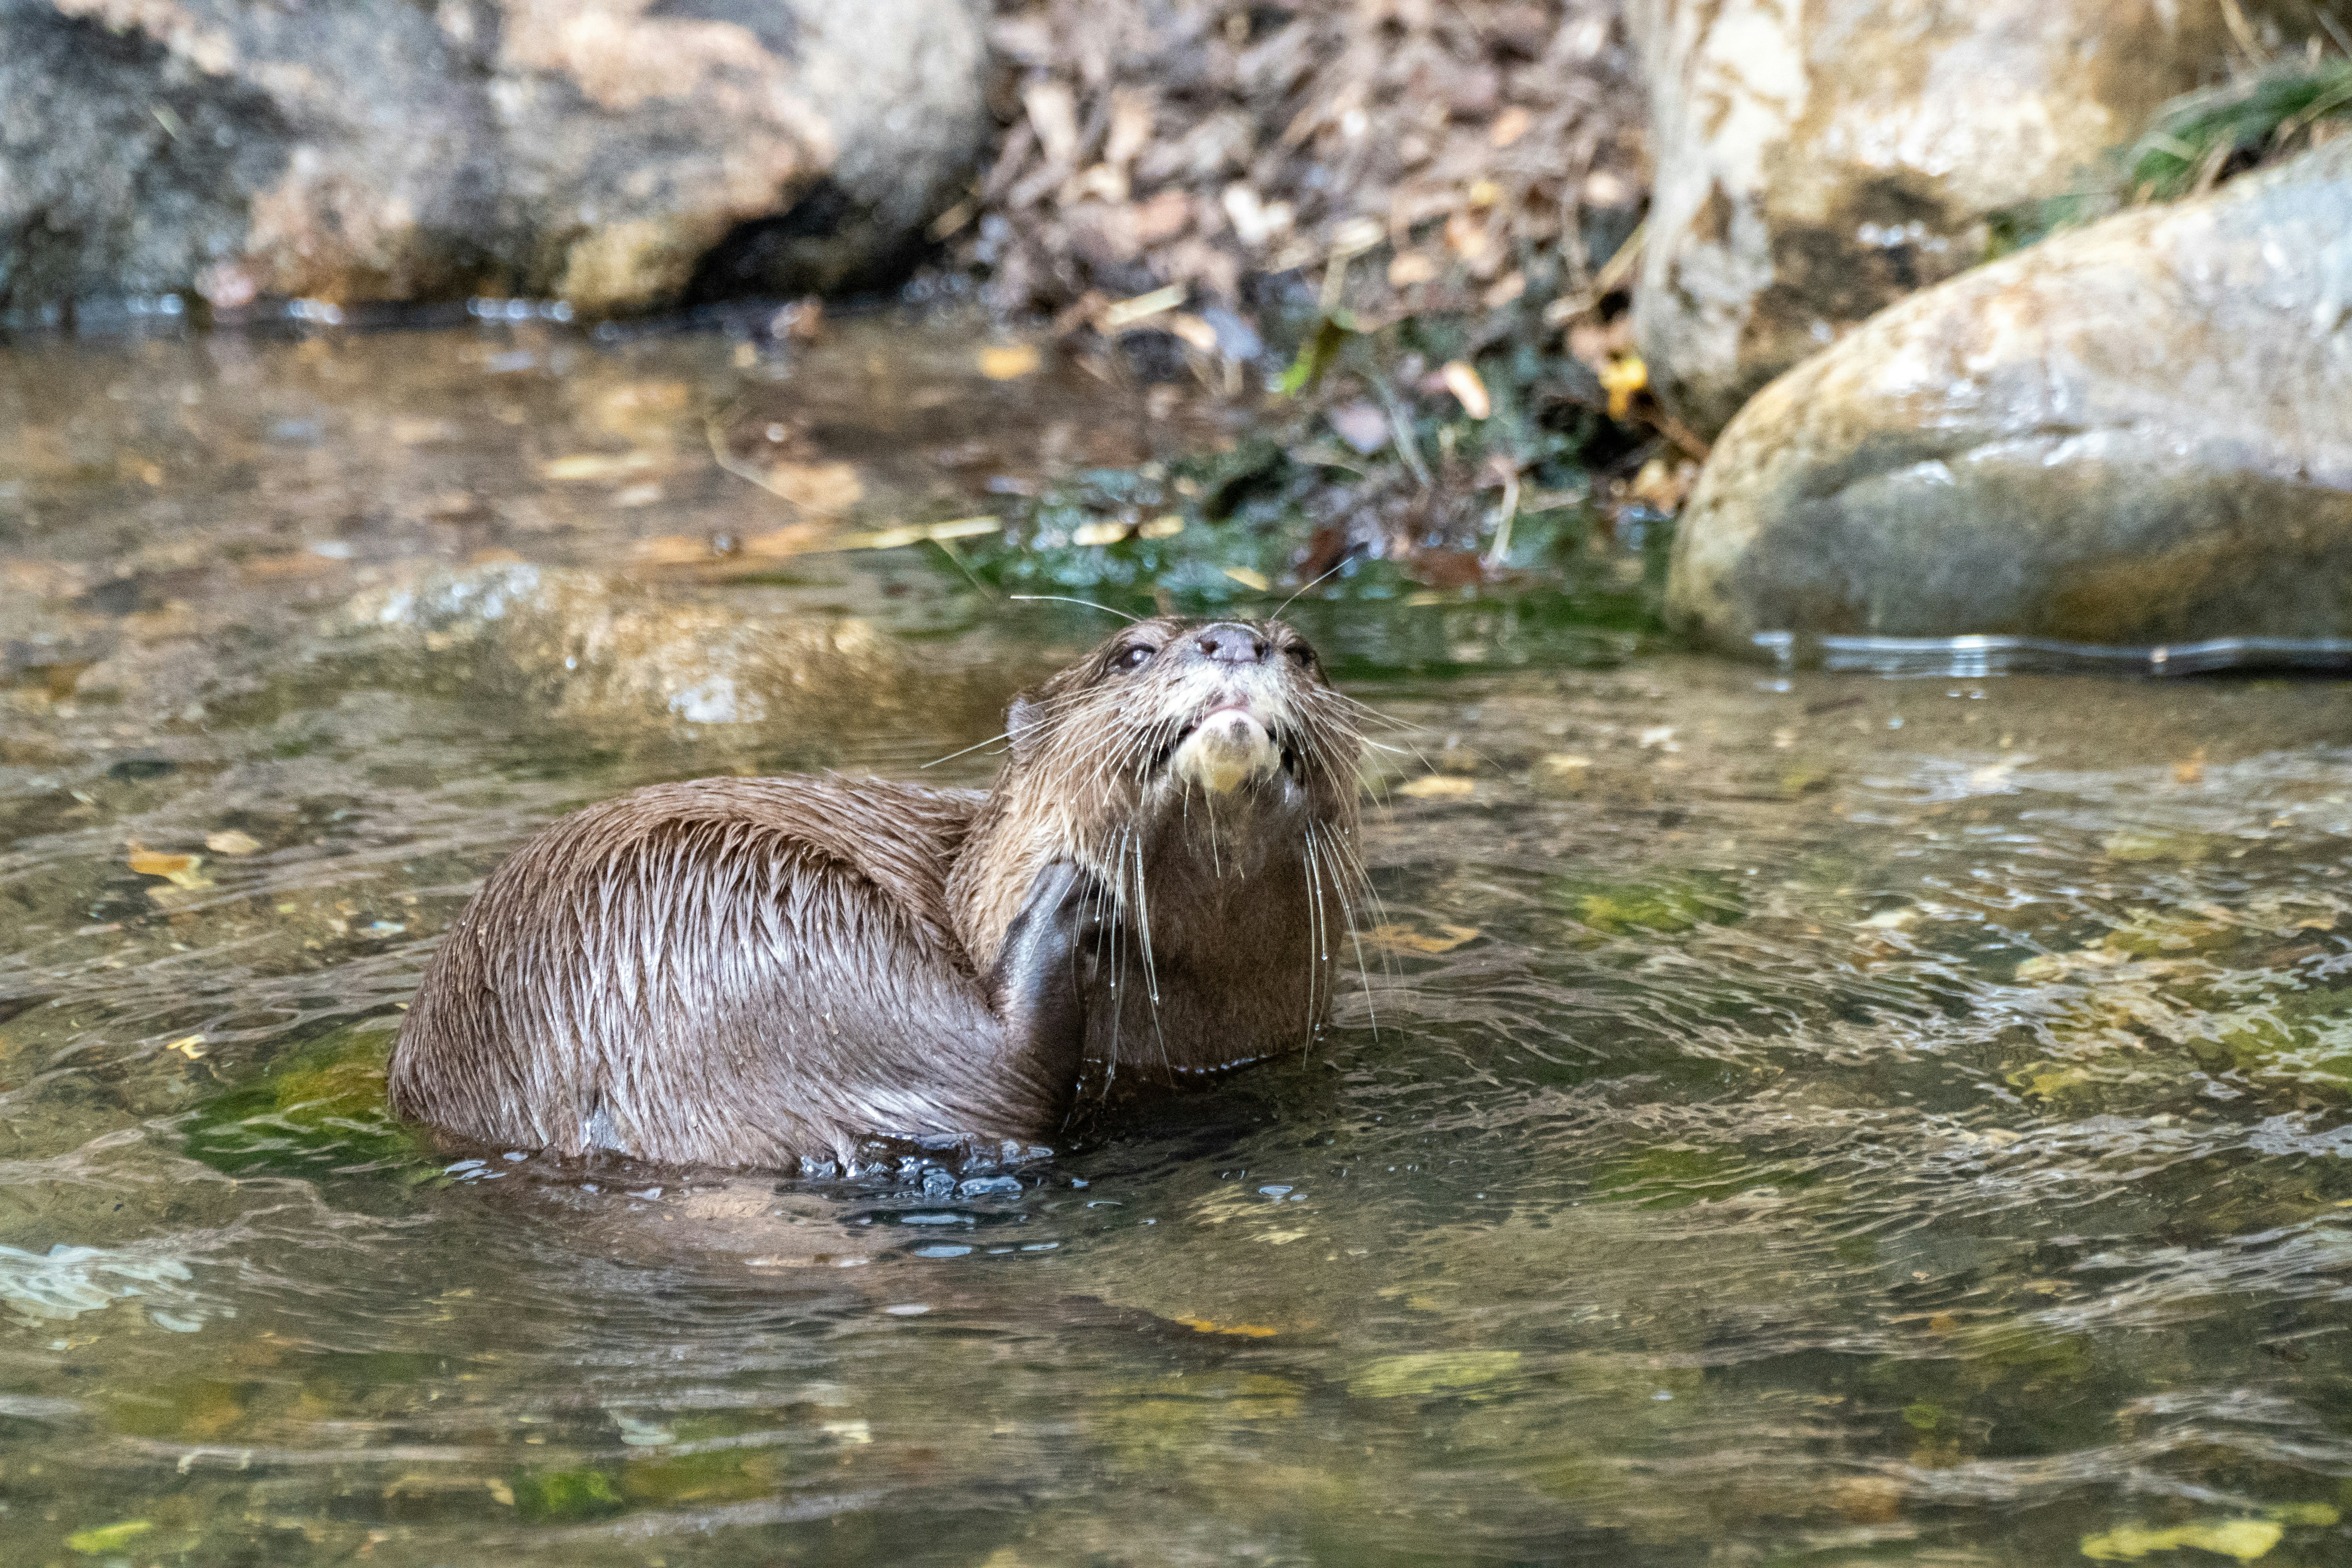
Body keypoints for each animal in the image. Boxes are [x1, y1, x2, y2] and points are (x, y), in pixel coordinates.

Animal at [388, 617, 1366, 1170]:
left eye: (1305, 653)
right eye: (1131, 653)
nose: (1235, 641)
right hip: (775, 929)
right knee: (992, 1077)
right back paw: (1067, 899)